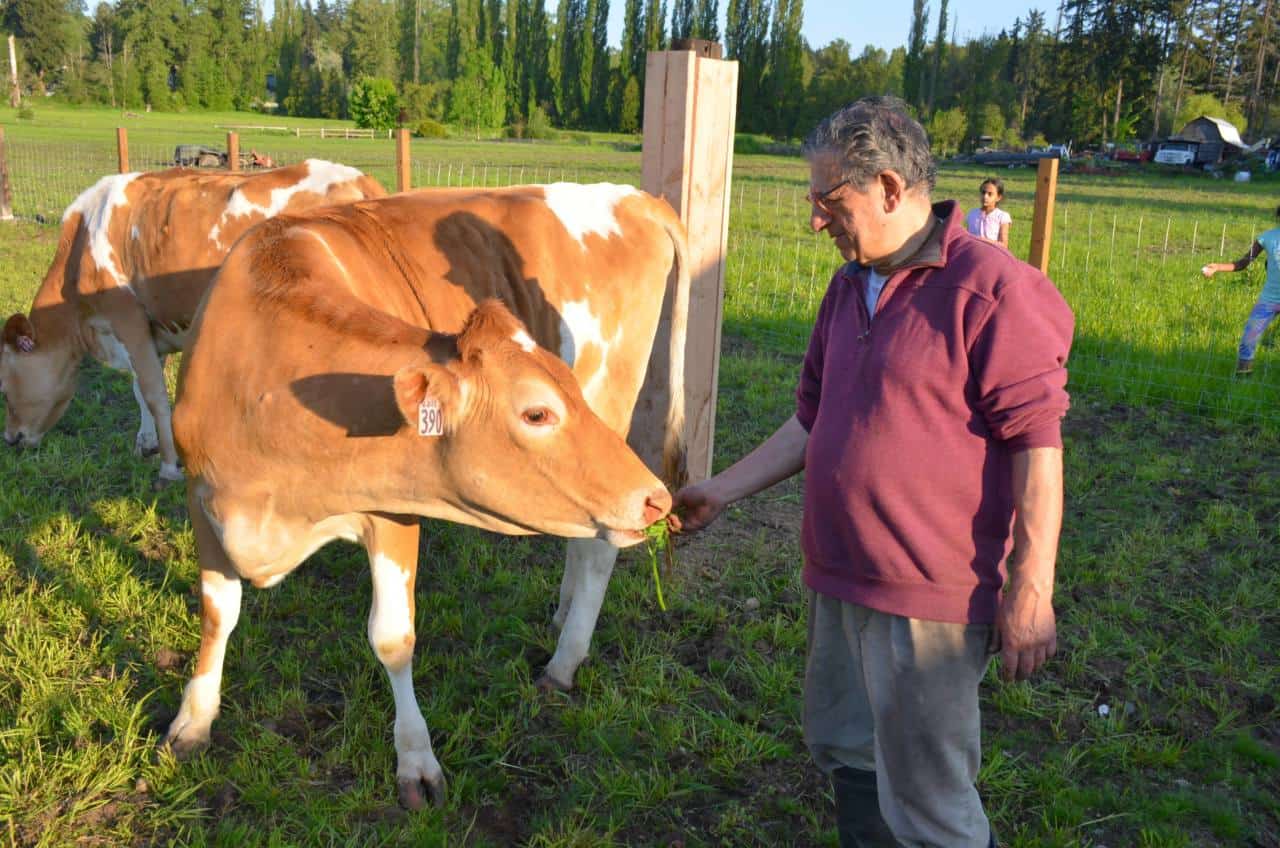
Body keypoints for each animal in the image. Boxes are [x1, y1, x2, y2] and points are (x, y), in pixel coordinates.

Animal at [0, 160, 386, 482]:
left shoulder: (127, 318)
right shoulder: (151, 330)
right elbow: (139, 389)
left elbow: (155, 394)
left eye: (3, 390)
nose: (11, 438)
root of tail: (360, 179)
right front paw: (146, 442)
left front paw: (170, 466)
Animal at [161, 183, 690, 809]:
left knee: (597, 550)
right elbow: (218, 611)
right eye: (538, 412)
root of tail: (633, 195)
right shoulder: (201, 497)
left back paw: (564, 662)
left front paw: (415, 760)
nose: (656, 499)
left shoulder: (394, 509)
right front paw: (194, 719)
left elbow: (392, 638)